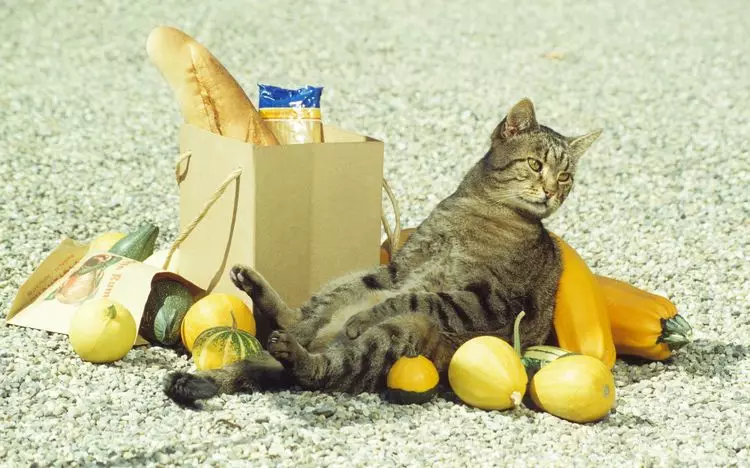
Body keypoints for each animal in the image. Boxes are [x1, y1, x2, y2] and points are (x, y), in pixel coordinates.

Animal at [164, 97, 604, 404]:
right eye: (535, 165)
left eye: (566, 176)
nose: (552, 192)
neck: (477, 208)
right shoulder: (398, 268)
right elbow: (392, 291)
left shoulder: (489, 300)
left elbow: (417, 297)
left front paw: (361, 318)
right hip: (347, 281)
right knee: (300, 319)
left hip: (397, 337)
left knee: (317, 371)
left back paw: (297, 349)